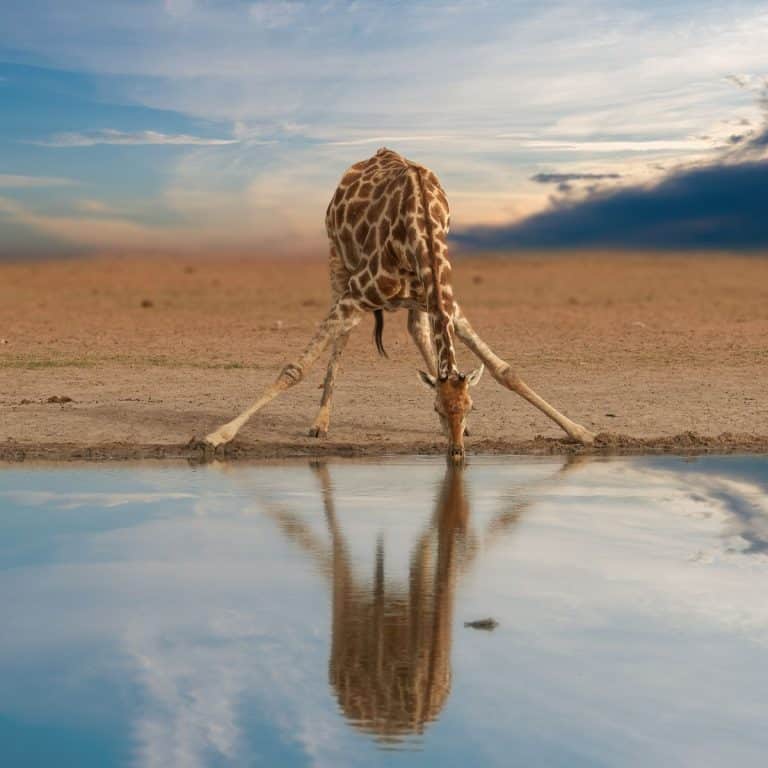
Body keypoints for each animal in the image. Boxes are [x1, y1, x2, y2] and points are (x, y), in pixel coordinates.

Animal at [204, 147, 595, 460]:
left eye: (470, 407)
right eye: (436, 409)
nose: (456, 453)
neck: (419, 227)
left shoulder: (445, 301)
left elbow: (505, 370)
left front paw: (581, 432)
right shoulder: (356, 294)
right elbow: (295, 369)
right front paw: (217, 435)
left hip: (415, 300)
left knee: (416, 329)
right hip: (337, 262)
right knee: (342, 338)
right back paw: (320, 423)